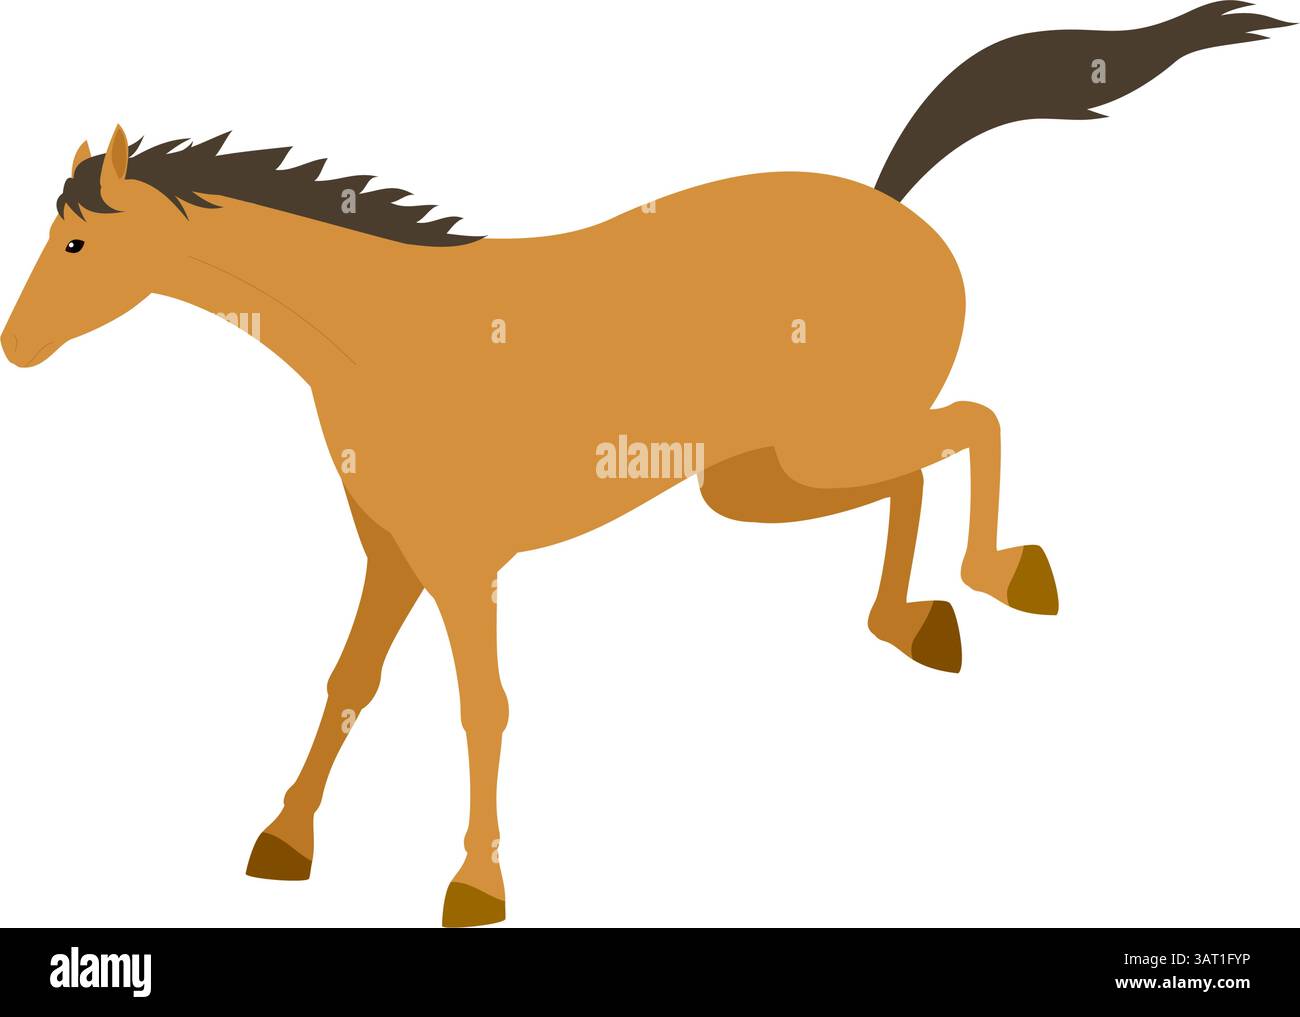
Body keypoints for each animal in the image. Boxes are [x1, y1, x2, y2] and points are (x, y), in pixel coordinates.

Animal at [2, 3, 1289, 926]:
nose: (13, 348)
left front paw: (475, 885)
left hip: (811, 452)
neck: (381, 339)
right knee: (917, 466)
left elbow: (482, 706)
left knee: (973, 423)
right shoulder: (391, 553)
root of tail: (889, 202)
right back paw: (913, 623)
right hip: (760, 481)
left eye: (75, 243)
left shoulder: (462, 565)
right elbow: (347, 684)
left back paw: (1003, 576)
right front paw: (282, 844)